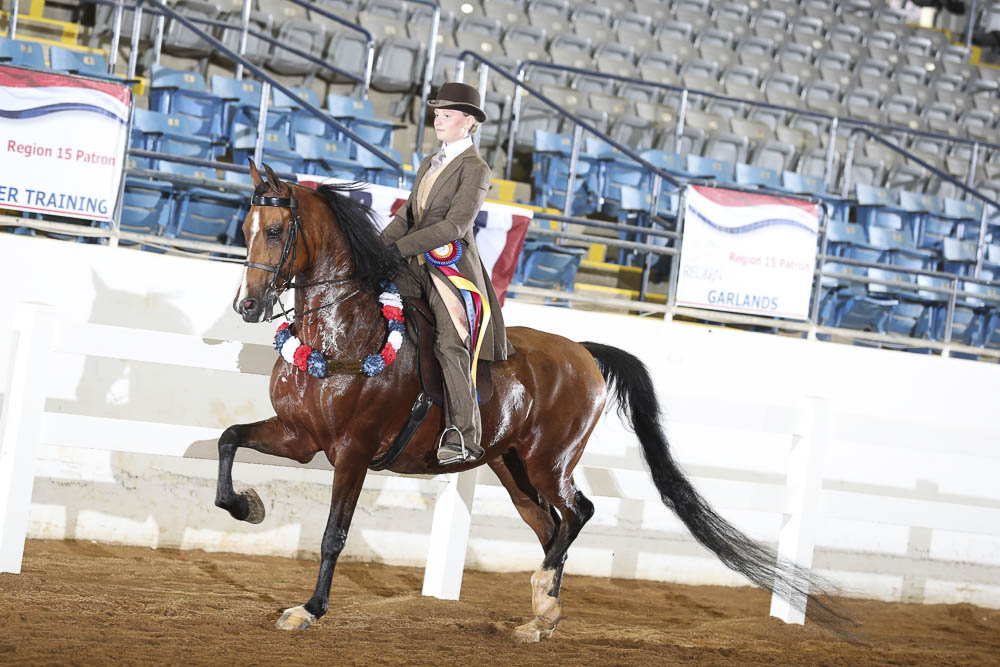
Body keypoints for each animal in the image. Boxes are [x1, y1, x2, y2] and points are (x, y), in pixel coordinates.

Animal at [215, 161, 852, 641]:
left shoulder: (351, 451)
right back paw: (542, 616)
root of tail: (583, 352)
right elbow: (227, 441)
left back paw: (544, 604)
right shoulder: (300, 437)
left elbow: (332, 535)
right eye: (244, 226)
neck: (346, 332)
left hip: (549, 462)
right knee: (552, 529)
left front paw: (308, 610)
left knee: (577, 514)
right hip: (512, 467)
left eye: (276, 231)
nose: (248, 306)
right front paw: (248, 506)